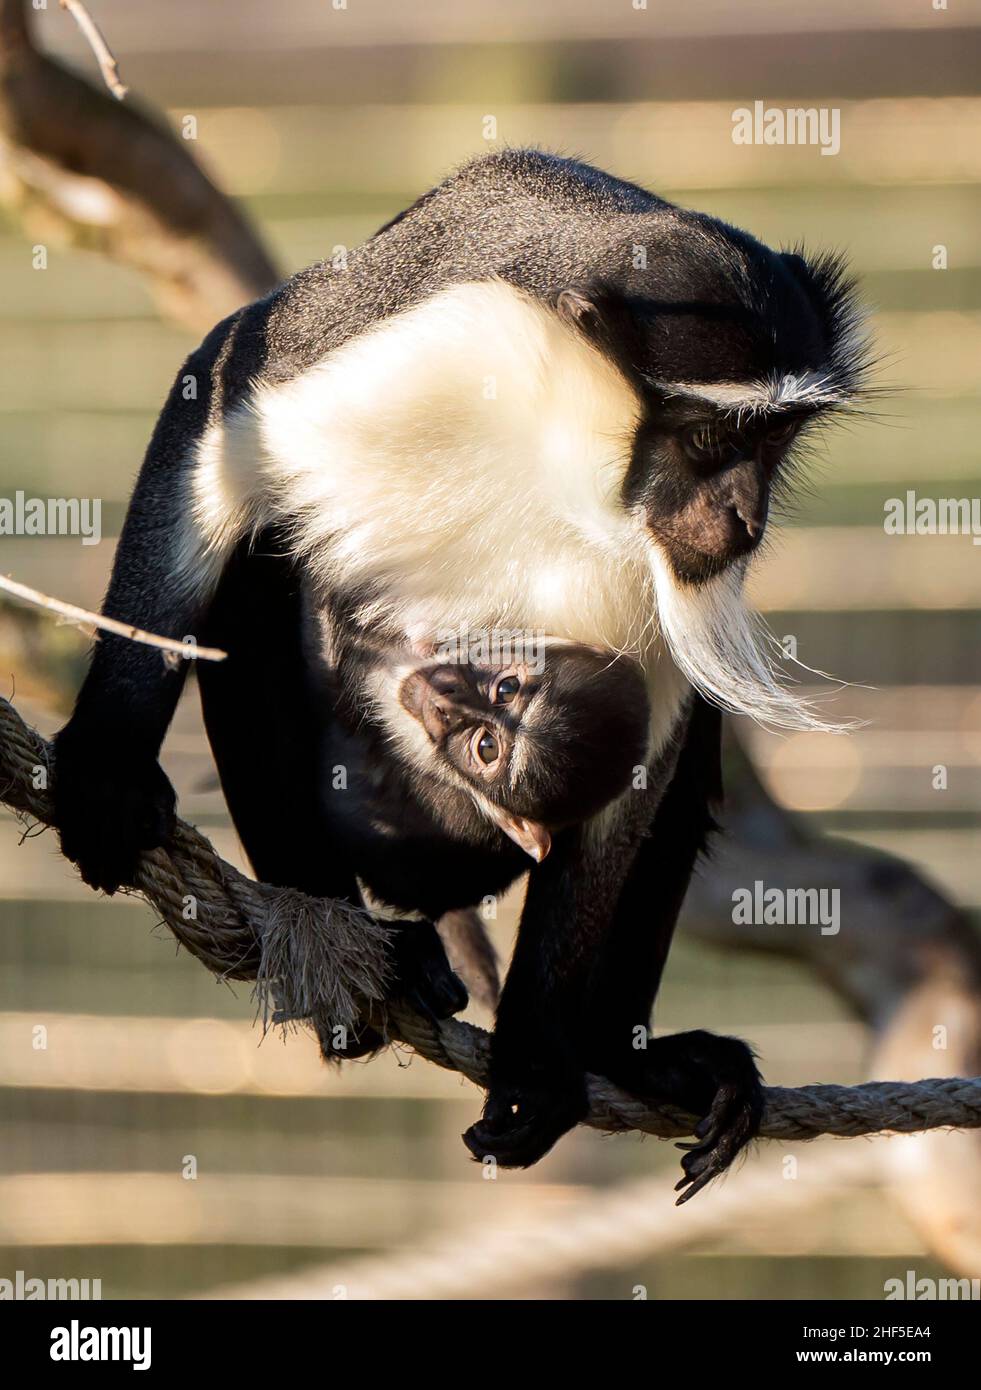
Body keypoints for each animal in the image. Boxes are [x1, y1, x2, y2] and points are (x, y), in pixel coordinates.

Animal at [52, 150, 868, 1197]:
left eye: (774, 442)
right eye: (705, 439)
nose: (740, 517)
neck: (569, 442)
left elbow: (640, 760)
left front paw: (542, 1057)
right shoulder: (441, 335)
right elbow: (221, 388)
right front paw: (109, 764)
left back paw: (624, 1056)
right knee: (260, 560)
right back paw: (362, 946)